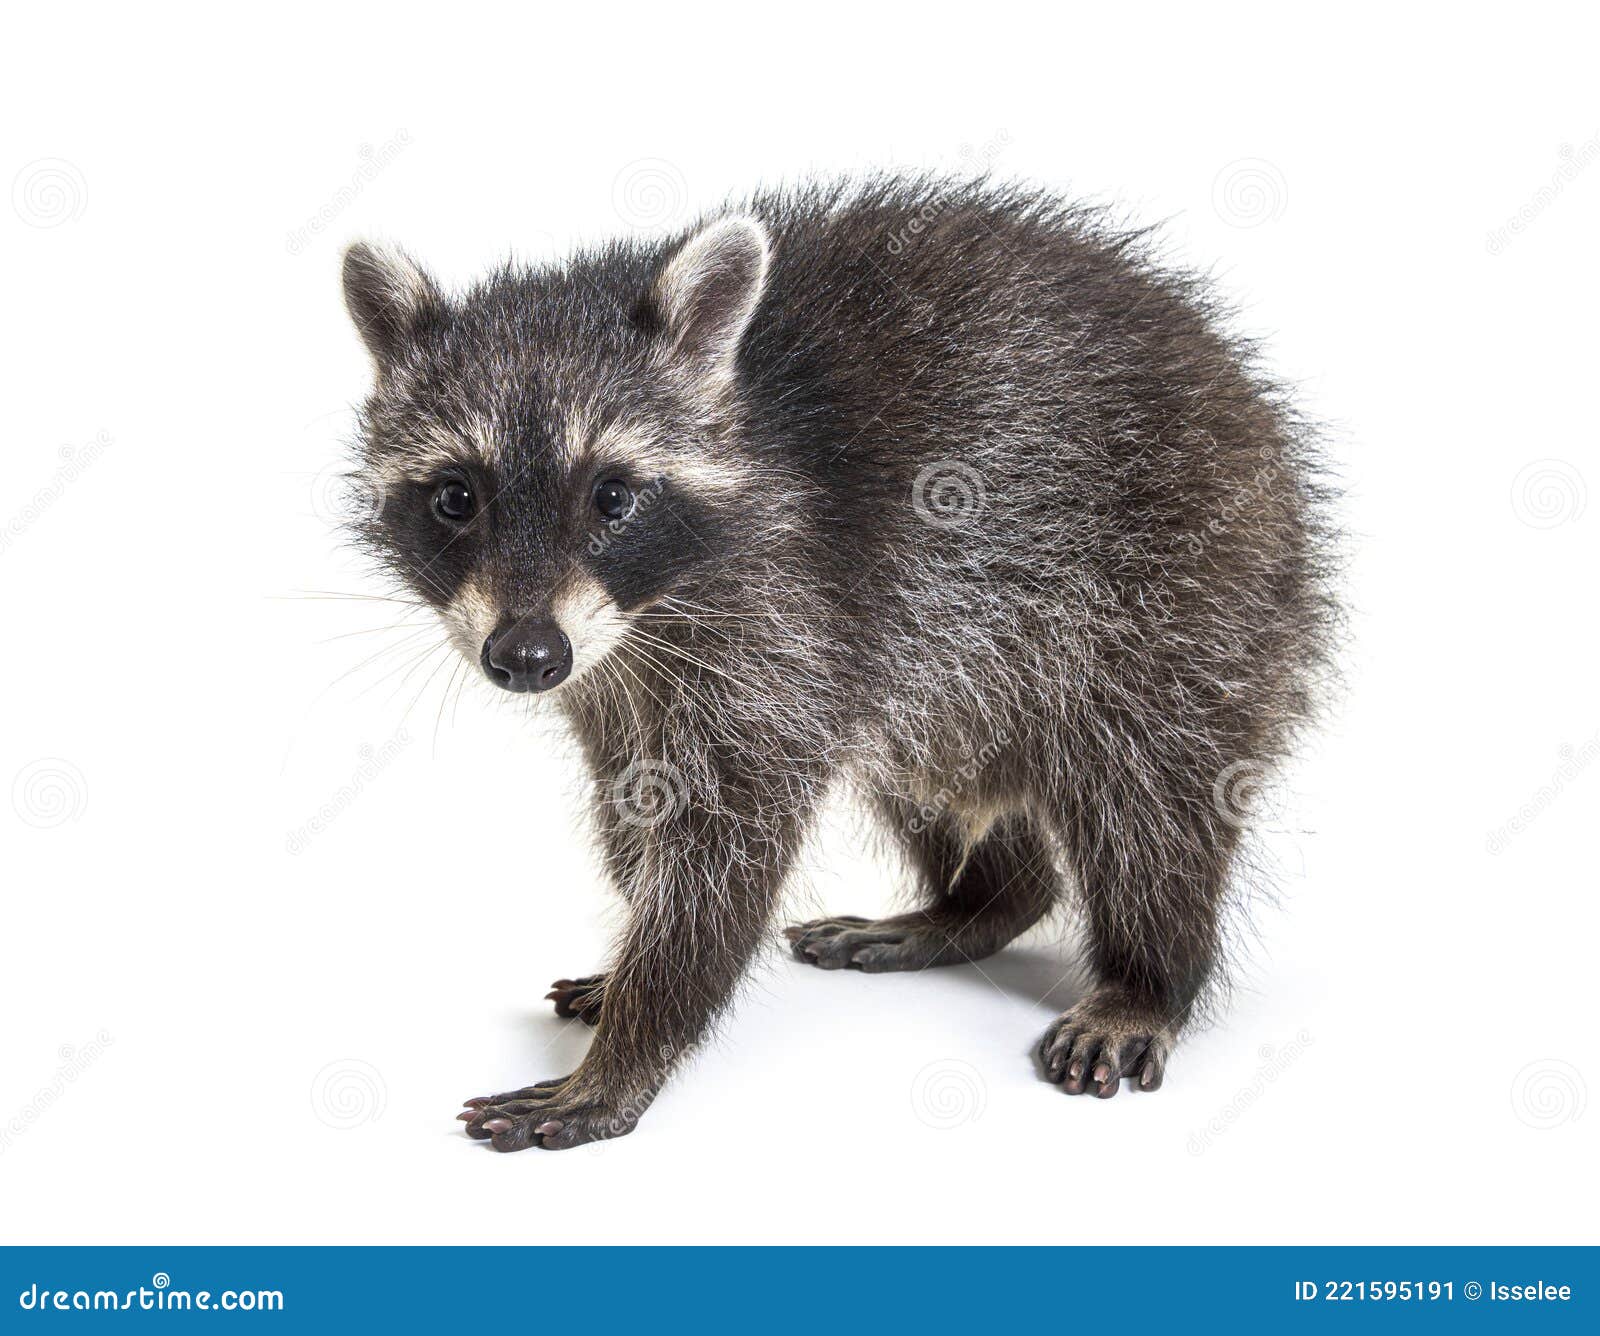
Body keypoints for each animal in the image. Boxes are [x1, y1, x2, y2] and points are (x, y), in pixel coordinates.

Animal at [341, 177, 1336, 1152]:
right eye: (456, 498)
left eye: (613, 496)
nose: (526, 659)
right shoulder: (622, 672)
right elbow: (635, 802)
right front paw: (627, 955)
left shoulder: (784, 609)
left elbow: (728, 841)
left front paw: (637, 1036)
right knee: (926, 757)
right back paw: (984, 901)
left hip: (1185, 594)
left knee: (1149, 801)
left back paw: (1149, 975)